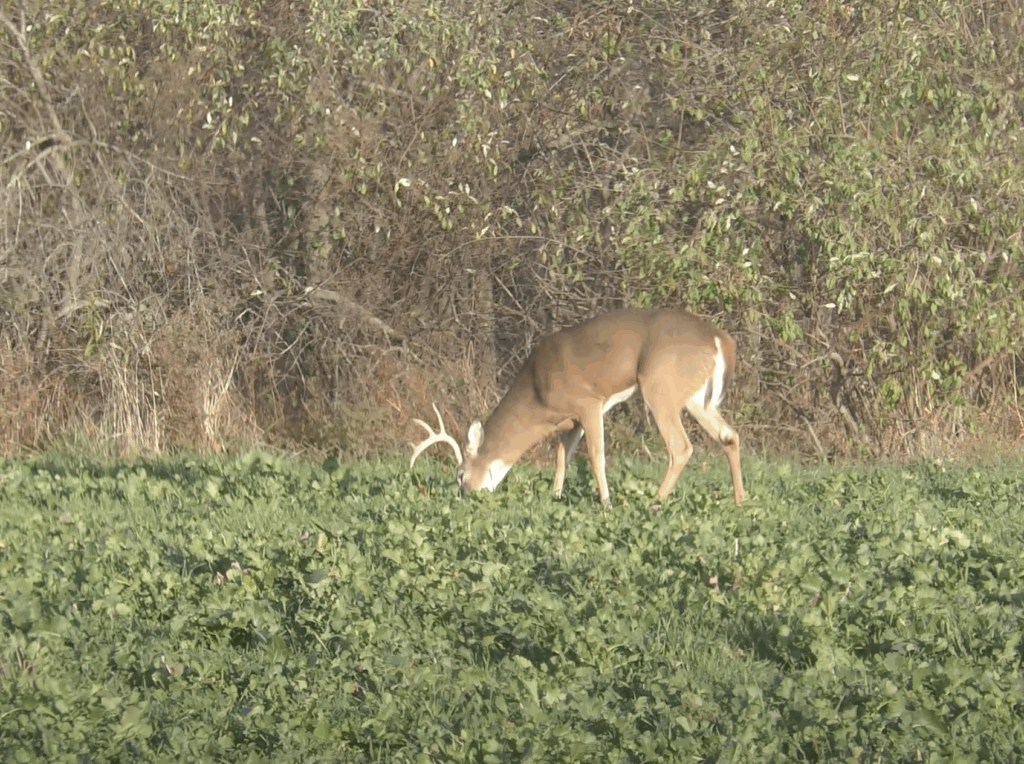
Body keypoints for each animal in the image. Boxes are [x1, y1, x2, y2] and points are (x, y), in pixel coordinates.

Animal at [410, 308, 746, 507]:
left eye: (460, 474)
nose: (465, 498)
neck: (538, 394)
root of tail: (720, 340)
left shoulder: (589, 403)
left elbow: (596, 456)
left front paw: (606, 503)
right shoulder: (572, 421)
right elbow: (562, 456)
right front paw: (555, 496)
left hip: (659, 386)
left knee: (681, 447)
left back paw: (655, 502)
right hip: (695, 397)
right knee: (729, 436)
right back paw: (740, 500)